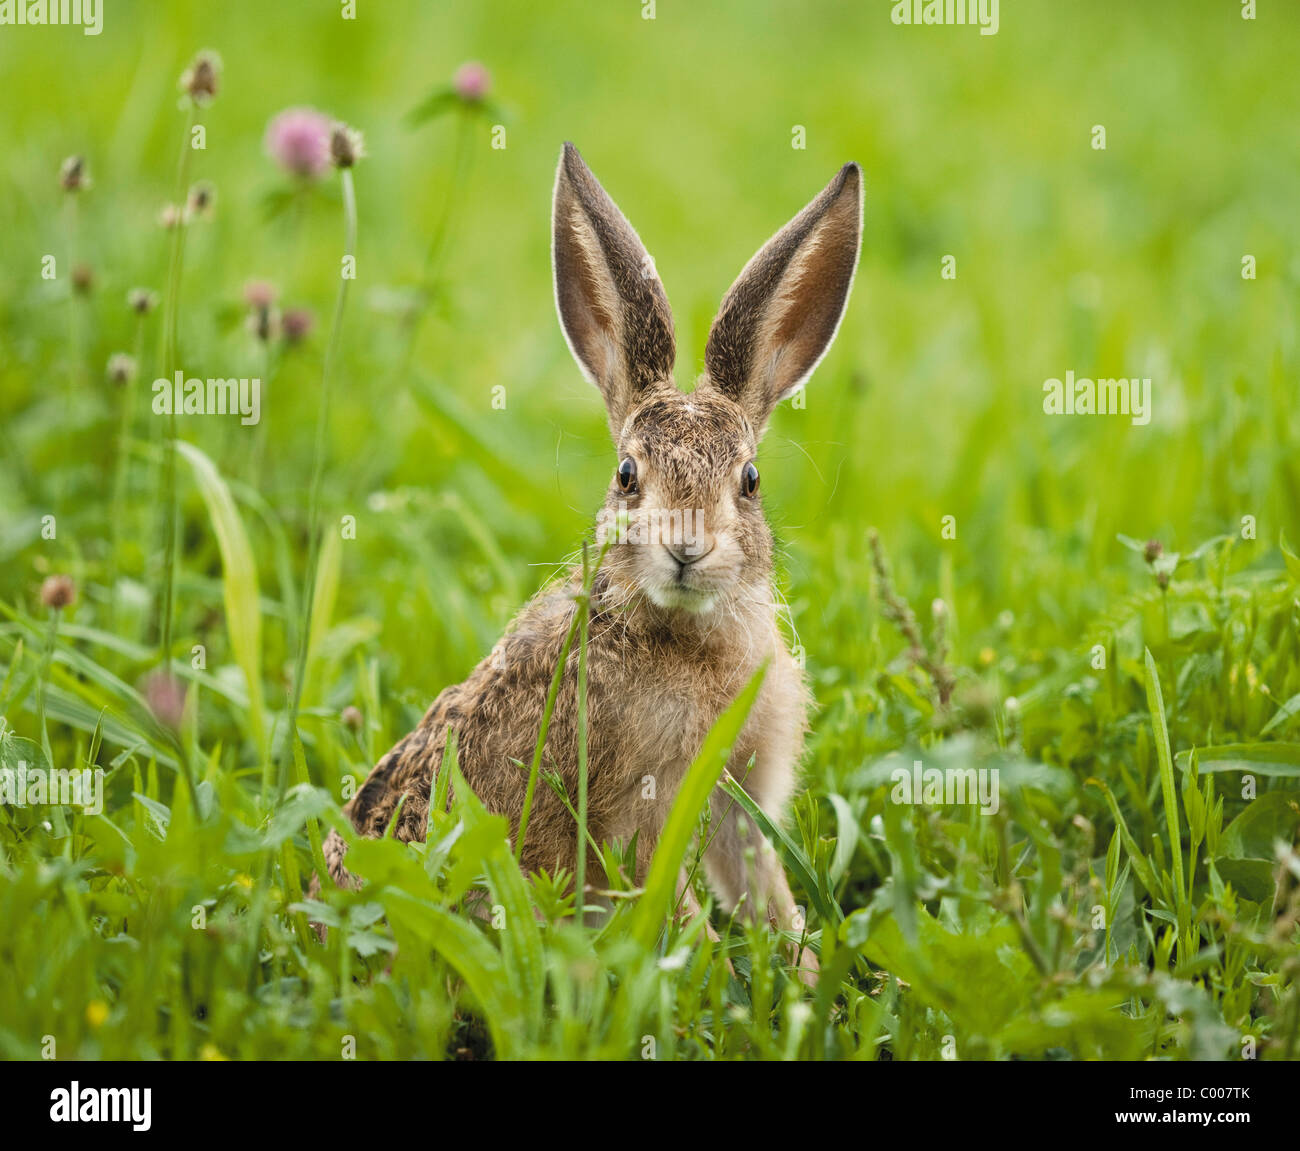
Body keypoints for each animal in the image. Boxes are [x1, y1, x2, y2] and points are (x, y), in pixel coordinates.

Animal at [315, 143, 862, 981]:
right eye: (628, 474)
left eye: (749, 480)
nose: (685, 546)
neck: (680, 634)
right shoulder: (634, 814)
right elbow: (674, 903)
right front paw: (716, 975)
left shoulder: (739, 798)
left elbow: (765, 890)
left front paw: (801, 979)